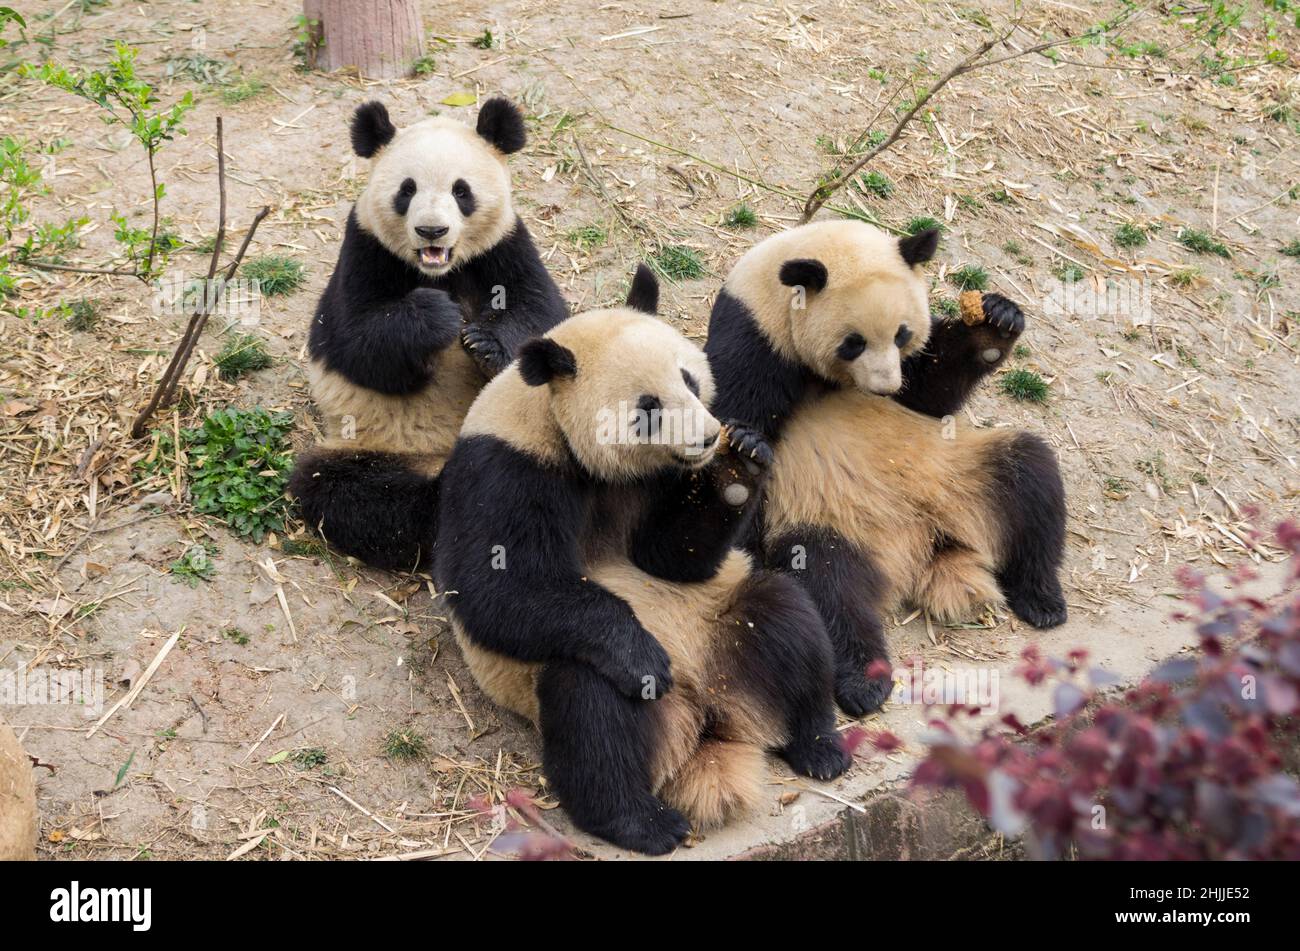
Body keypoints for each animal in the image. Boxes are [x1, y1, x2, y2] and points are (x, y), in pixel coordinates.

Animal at [288, 98, 568, 571]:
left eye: (461, 191)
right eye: (407, 190)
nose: (431, 230)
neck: (439, 270)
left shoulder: (506, 245)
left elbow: (542, 312)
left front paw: (483, 344)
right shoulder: (364, 249)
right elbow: (352, 342)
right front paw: (437, 316)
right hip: (368, 446)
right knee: (349, 492)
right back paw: (448, 495)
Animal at [435, 266, 849, 855]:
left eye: (691, 380)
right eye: (649, 406)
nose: (706, 436)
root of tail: (703, 711)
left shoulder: (661, 482)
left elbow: (671, 560)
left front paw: (742, 456)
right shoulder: (506, 465)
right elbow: (495, 586)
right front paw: (643, 658)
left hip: (722, 622)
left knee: (787, 621)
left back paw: (818, 744)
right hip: (571, 682)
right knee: (592, 712)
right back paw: (641, 820)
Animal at [705, 220, 1067, 716]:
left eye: (901, 334)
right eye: (853, 342)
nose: (884, 386)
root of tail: (923, 550)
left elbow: (931, 395)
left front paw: (997, 317)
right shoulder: (754, 332)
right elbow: (733, 404)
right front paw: (744, 446)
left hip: (963, 473)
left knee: (1030, 476)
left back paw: (1043, 599)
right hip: (831, 522)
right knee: (829, 586)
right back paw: (865, 681)